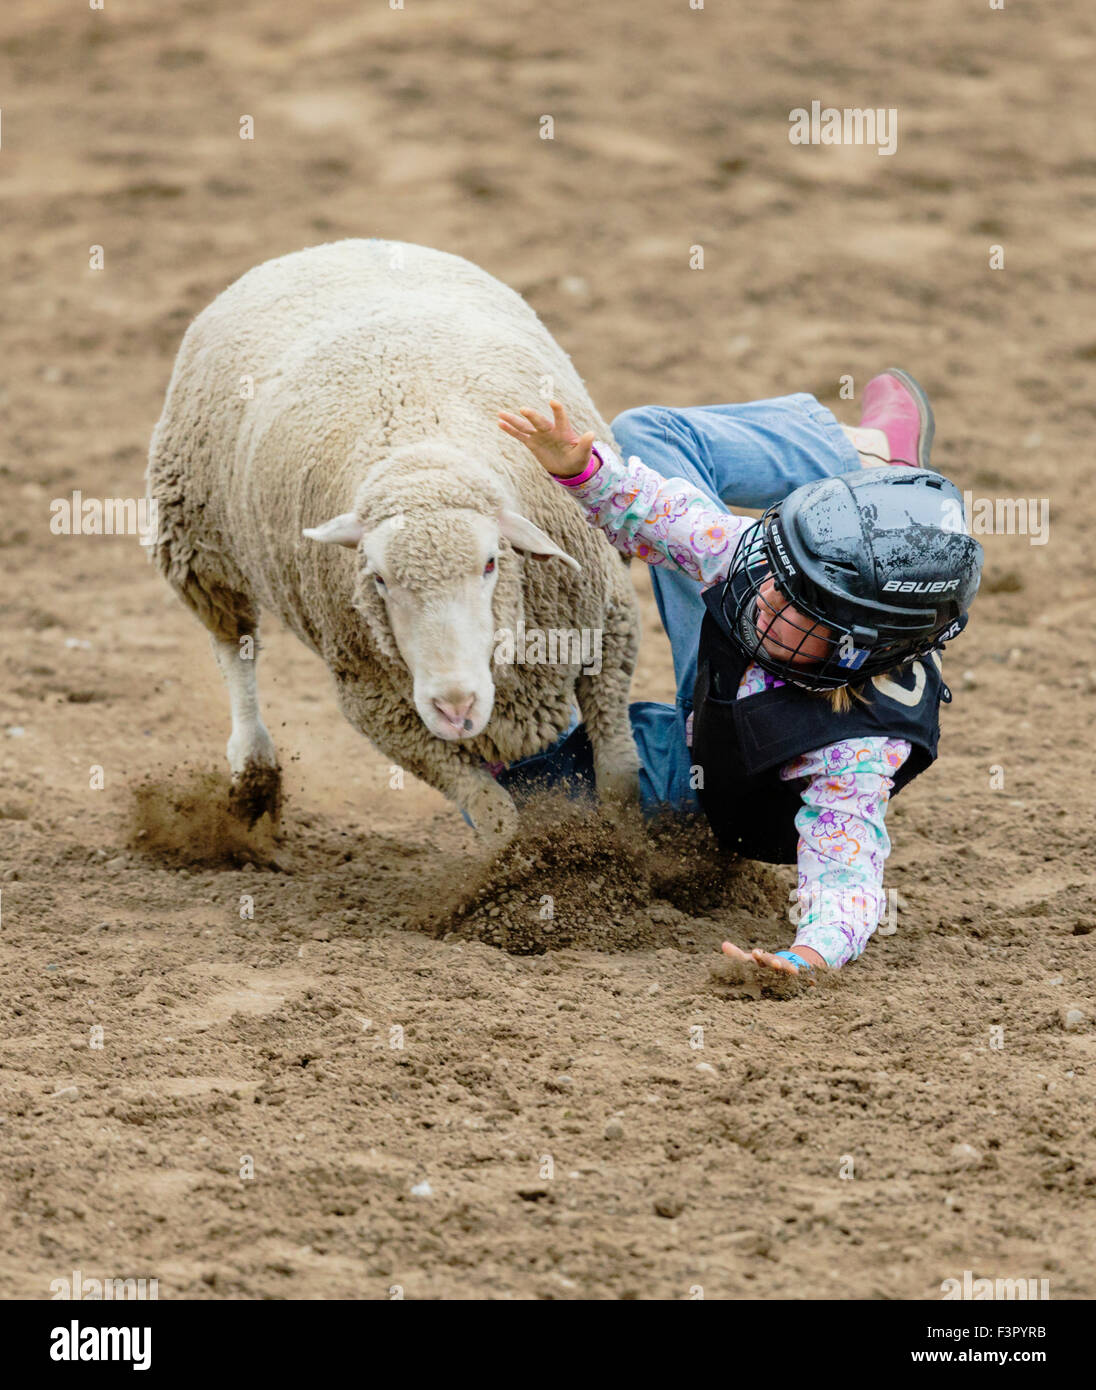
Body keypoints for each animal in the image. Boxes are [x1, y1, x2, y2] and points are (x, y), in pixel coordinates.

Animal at [145, 238, 640, 848]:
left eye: (491, 564)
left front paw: (634, 848)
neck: (419, 452)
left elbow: (619, 774)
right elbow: (494, 816)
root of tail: (322, 247)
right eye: (378, 579)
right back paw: (253, 772)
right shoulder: (377, 704)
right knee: (235, 647)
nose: (455, 705)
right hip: (199, 543)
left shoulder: (610, 626)